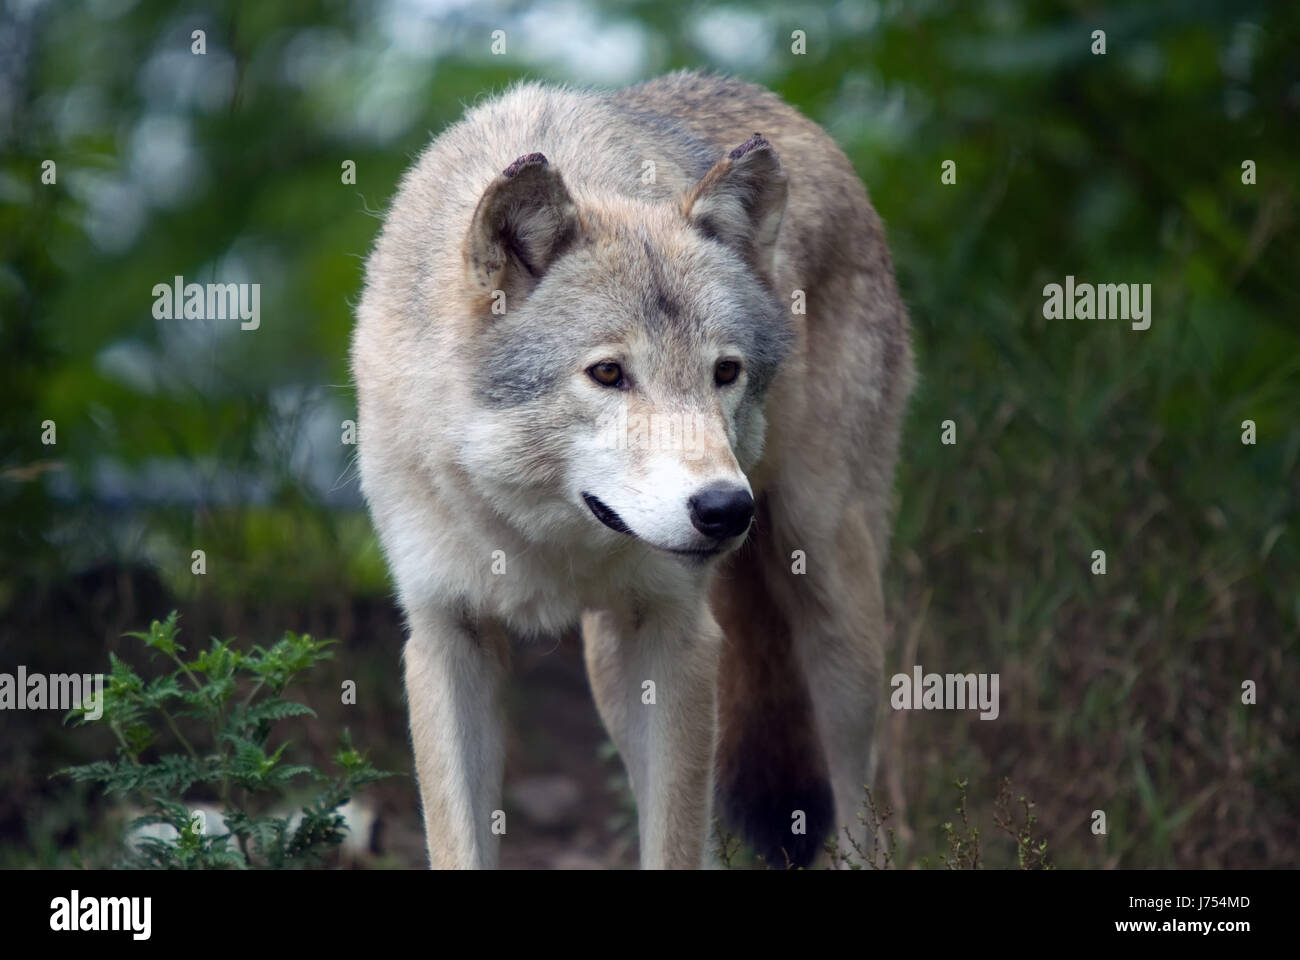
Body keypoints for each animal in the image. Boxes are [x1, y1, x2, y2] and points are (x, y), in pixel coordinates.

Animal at [351, 70, 913, 869]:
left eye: (725, 372)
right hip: (611, 667)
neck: (544, 531)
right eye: (609, 373)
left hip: (830, 597)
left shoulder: (679, 632)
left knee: (858, 808)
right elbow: (459, 840)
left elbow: (674, 843)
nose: (724, 510)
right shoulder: (446, 635)